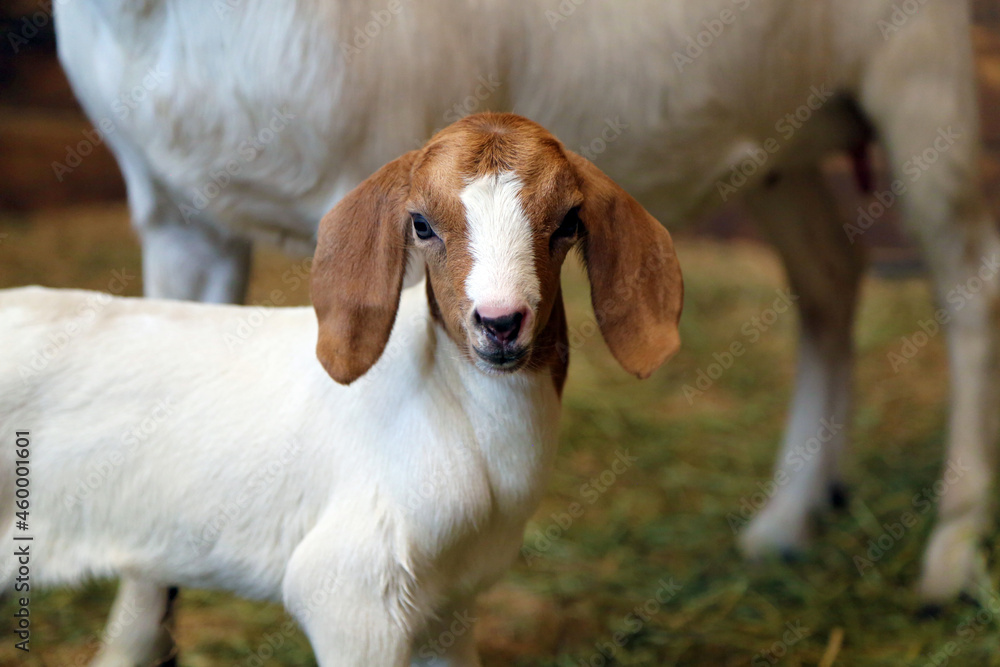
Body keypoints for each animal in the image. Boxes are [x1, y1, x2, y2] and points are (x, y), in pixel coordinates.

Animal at [0, 113, 683, 666]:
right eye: (421, 223)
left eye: (569, 220)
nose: (499, 322)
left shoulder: (449, 609)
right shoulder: (351, 593)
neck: (458, 417)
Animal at [52, 0, 1000, 605]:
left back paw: (952, 548)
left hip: (921, 75)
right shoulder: (177, 214)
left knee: (970, 288)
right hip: (782, 137)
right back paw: (792, 514)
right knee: (830, 278)